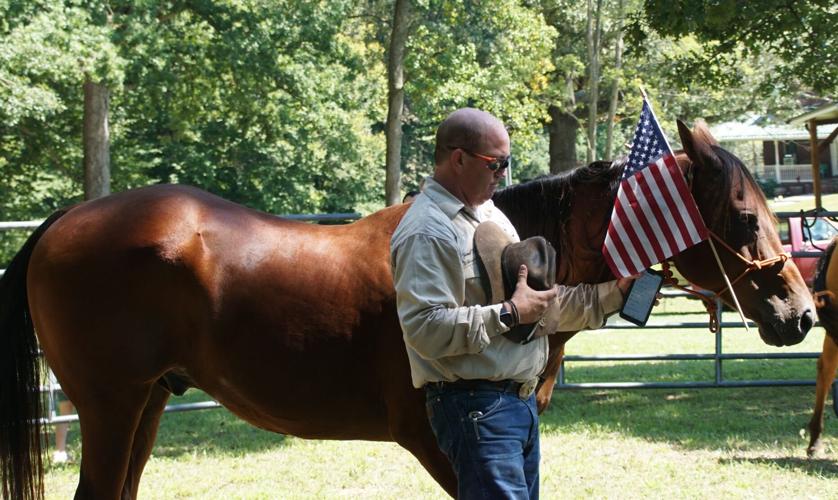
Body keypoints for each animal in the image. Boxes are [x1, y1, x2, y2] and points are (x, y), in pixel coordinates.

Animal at [0, 121, 815, 499]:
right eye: (745, 217)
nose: (801, 313)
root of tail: (67, 220)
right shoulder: (435, 438)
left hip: (145, 405)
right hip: (111, 407)